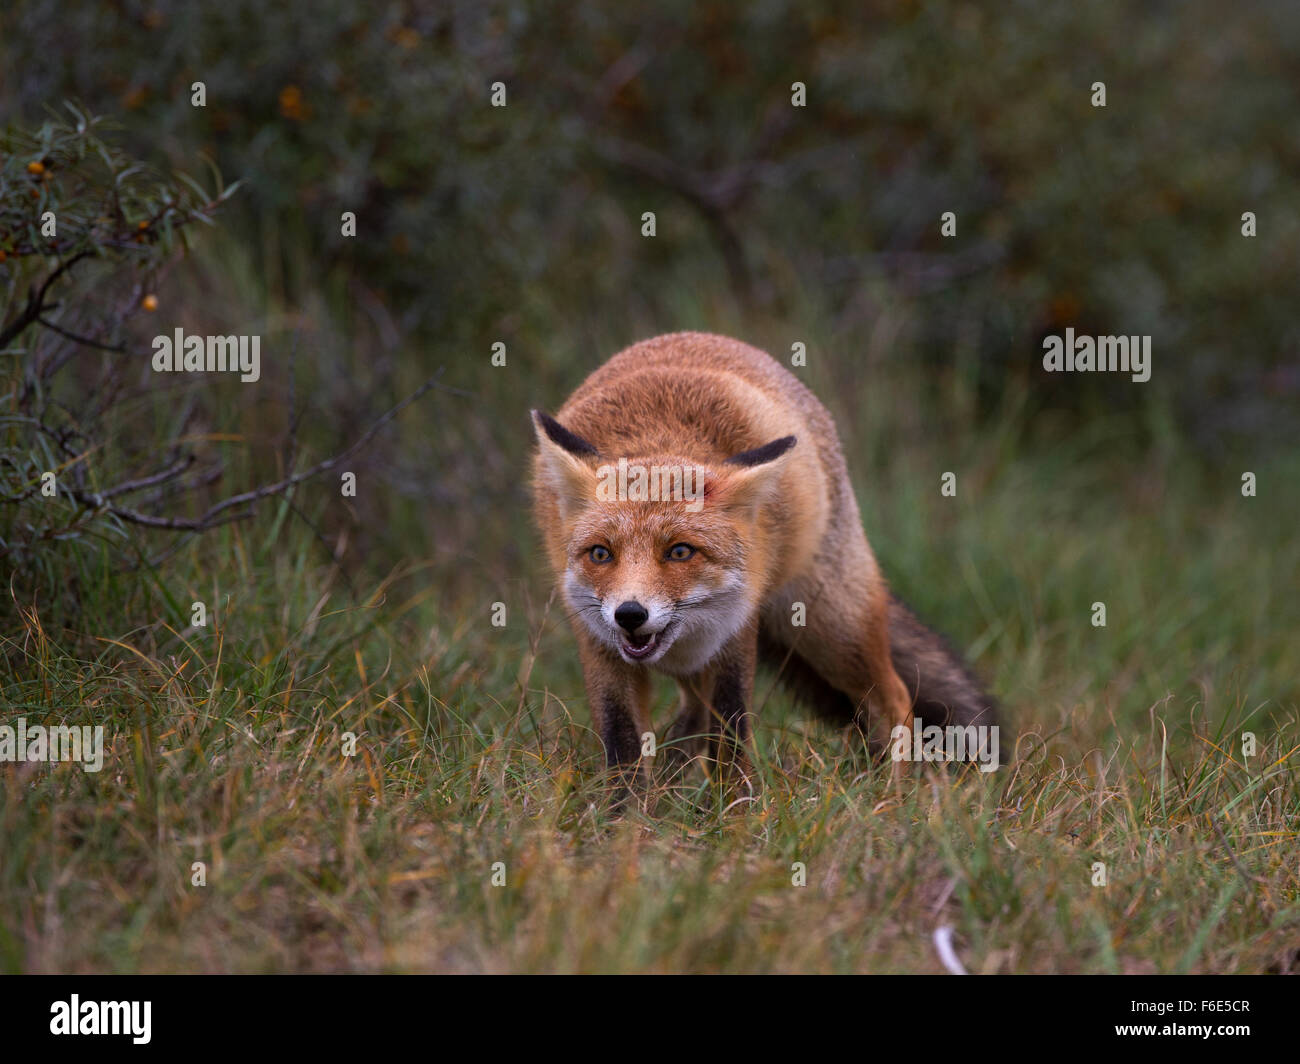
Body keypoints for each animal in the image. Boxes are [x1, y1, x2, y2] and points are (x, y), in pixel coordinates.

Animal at [531, 331, 998, 793]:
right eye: (600, 553)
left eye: (680, 551)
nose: (629, 614)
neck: (659, 437)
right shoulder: (599, 643)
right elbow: (623, 744)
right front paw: (629, 815)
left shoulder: (736, 629)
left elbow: (730, 736)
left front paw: (733, 810)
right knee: (692, 714)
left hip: (831, 629)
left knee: (894, 699)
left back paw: (889, 798)